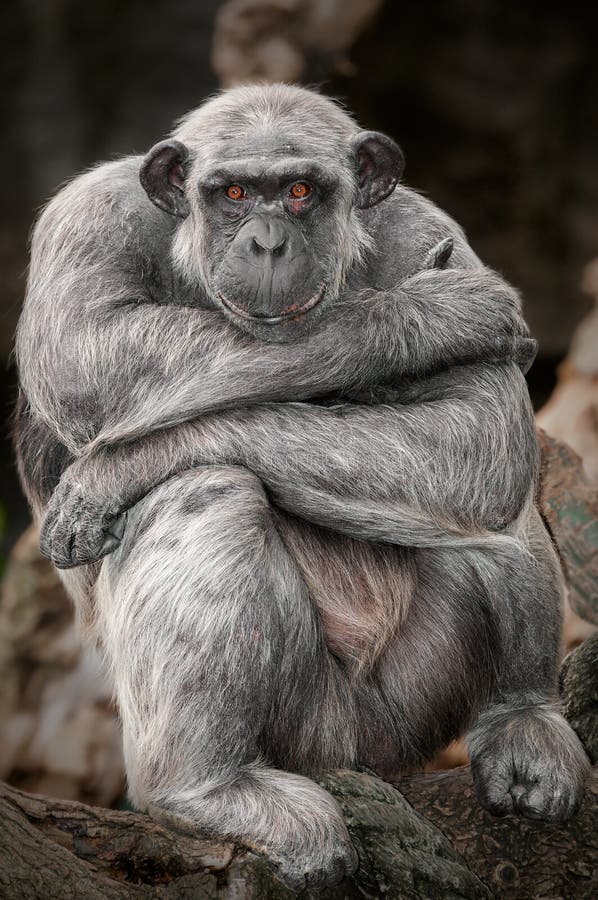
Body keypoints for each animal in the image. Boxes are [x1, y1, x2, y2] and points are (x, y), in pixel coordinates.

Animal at [13, 84, 589, 893]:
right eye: (231, 194)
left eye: (298, 192)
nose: (266, 241)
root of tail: (365, 761)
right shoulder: (85, 223)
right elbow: (89, 350)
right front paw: (438, 315)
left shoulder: (430, 228)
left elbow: (478, 427)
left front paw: (119, 467)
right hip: (307, 729)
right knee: (205, 489)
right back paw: (208, 790)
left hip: (412, 704)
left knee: (492, 493)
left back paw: (523, 717)